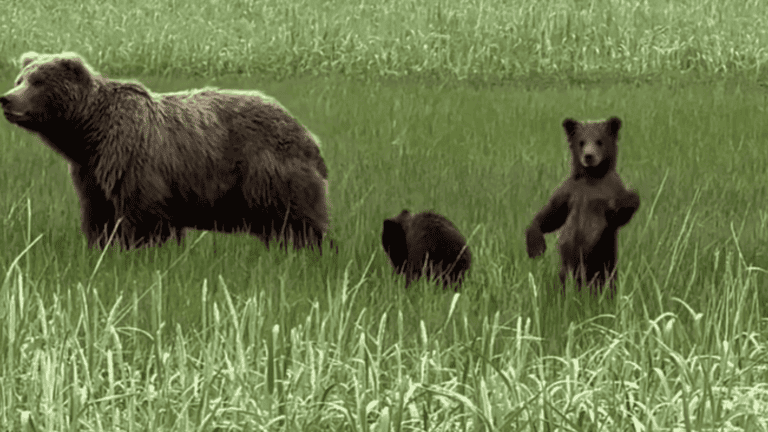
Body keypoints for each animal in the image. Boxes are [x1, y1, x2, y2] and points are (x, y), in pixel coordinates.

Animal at [0, 52, 331, 252]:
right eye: (20, 79)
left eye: (38, 82)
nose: (6, 98)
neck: (89, 134)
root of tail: (309, 135)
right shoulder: (91, 172)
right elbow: (99, 216)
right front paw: (104, 248)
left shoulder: (133, 160)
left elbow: (146, 217)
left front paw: (145, 250)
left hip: (269, 171)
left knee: (296, 221)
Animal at [525, 116, 640, 297]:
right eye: (581, 142)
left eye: (599, 141)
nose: (589, 156)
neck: (591, 177)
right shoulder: (570, 192)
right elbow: (550, 215)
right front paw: (536, 247)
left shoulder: (608, 191)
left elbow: (618, 213)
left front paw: (629, 198)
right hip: (566, 271)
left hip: (603, 265)